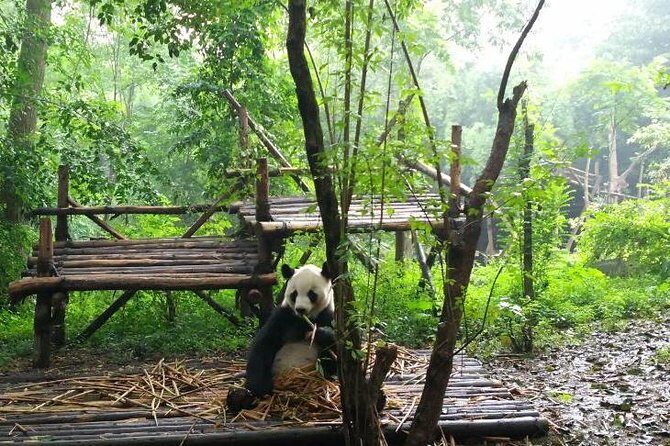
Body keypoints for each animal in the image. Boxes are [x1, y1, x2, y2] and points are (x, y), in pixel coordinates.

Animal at [227, 262, 337, 412]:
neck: (305, 319)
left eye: (311, 294)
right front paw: (261, 388)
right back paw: (240, 398)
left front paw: (320, 334)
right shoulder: (283, 316)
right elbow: (263, 345)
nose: (300, 309)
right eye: (294, 294)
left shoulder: (328, 315)